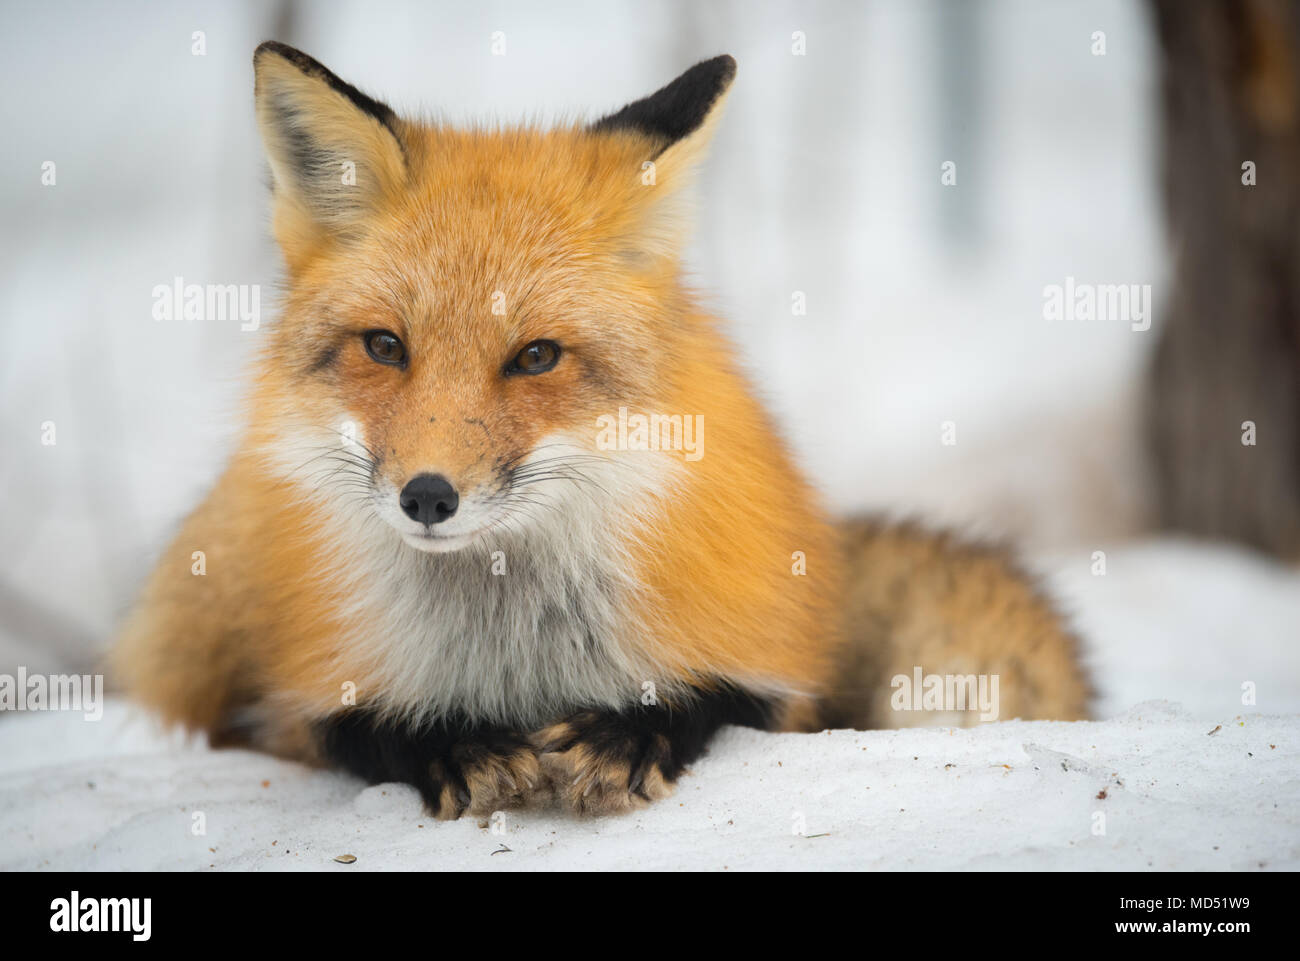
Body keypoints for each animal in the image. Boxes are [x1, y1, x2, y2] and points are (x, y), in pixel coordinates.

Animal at [114, 43, 1090, 819]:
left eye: (536, 356)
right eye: (385, 346)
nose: (426, 496)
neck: (517, 655)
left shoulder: (769, 671)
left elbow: (712, 700)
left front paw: (629, 736)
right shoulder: (298, 698)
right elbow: (358, 729)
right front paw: (453, 744)